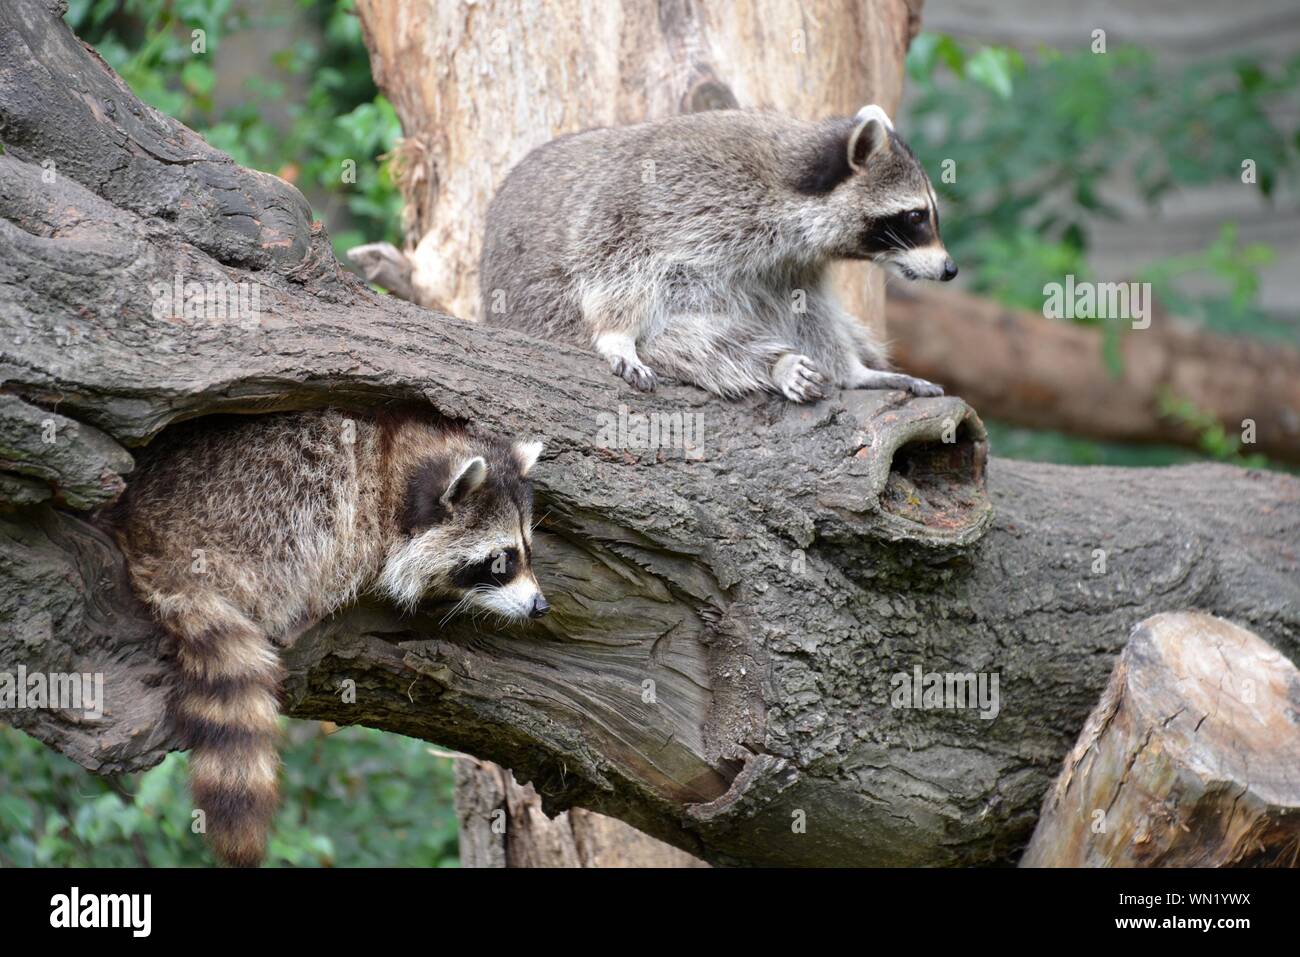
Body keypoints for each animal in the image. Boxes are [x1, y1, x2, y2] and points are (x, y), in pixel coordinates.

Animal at [110, 408, 547, 867]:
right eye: (502, 561)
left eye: (527, 552)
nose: (540, 606)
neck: (392, 463)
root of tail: (145, 532)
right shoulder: (354, 512)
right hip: (251, 508)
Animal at [480, 105, 956, 402]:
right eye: (916, 216)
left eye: (929, 213)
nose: (950, 269)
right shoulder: (669, 191)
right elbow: (615, 255)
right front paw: (617, 336)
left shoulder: (792, 263)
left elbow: (808, 312)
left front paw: (855, 372)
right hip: (550, 316)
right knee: (690, 341)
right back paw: (773, 364)